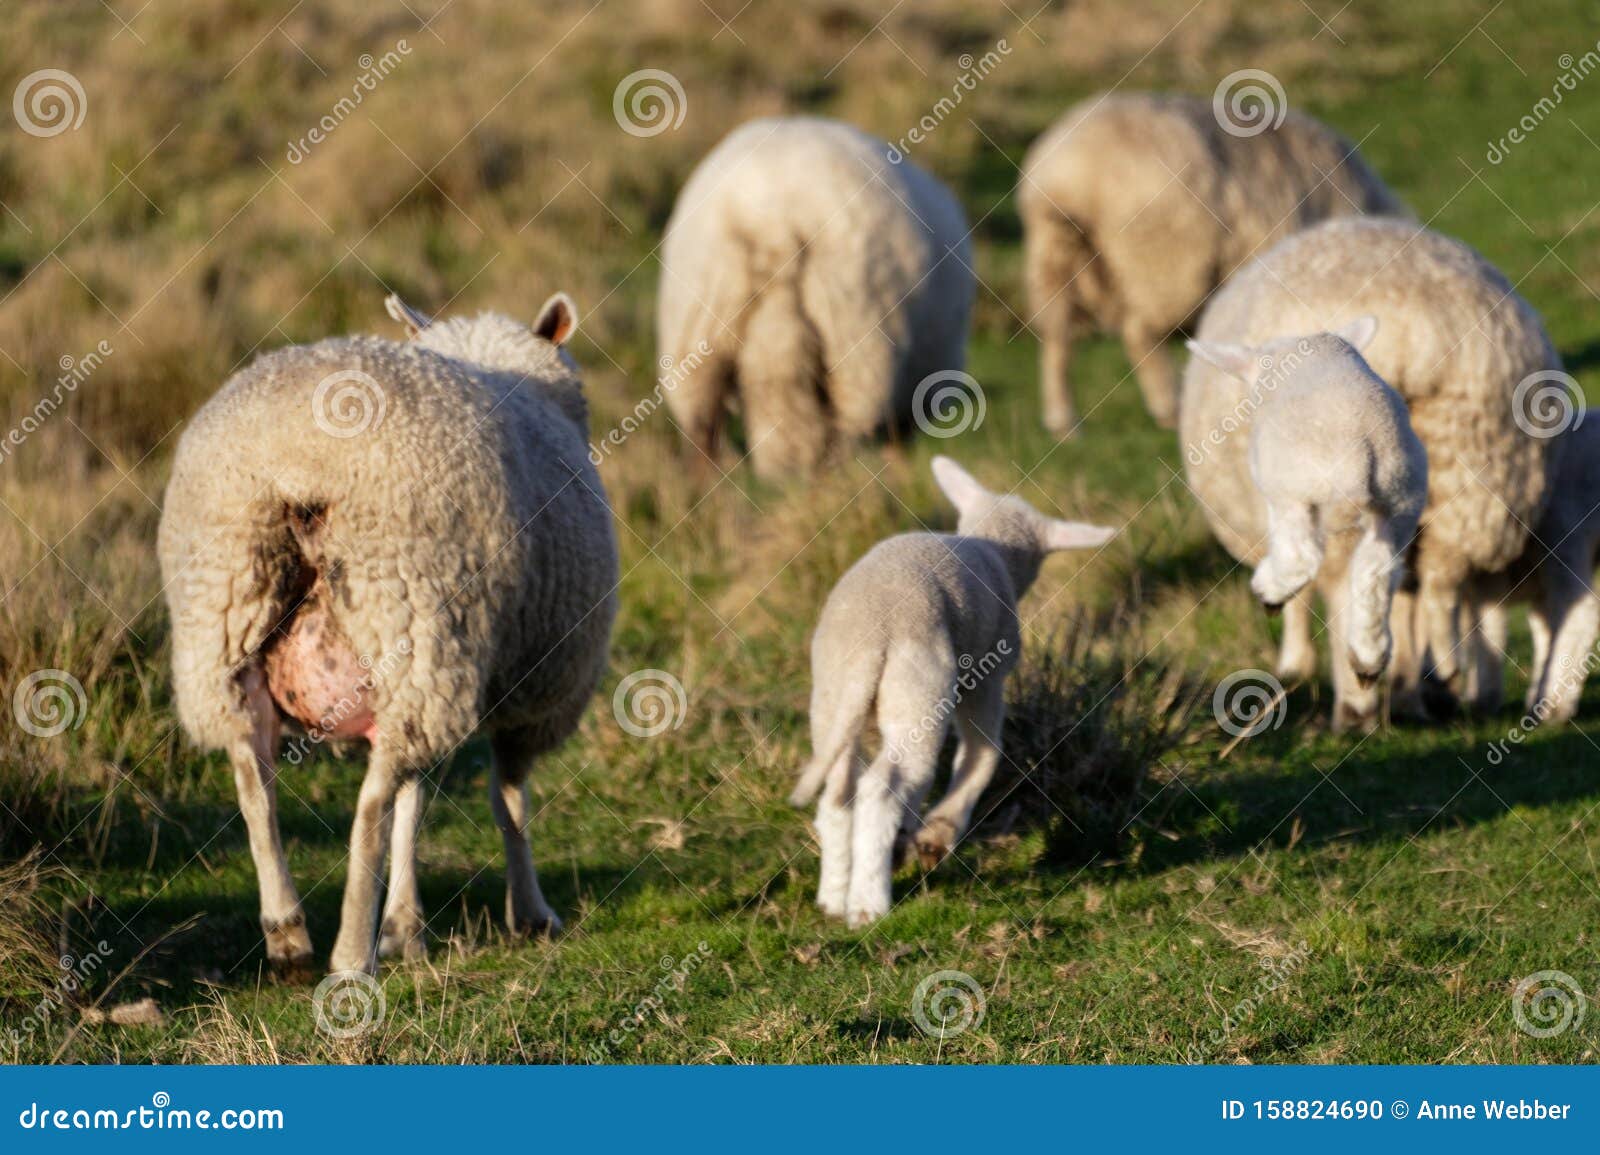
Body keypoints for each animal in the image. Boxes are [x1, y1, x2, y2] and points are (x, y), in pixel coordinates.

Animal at [157, 291, 618, 977]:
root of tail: (294, 464)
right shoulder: (526, 690)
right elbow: (505, 801)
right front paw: (529, 912)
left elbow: (417, 801)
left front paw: (406, 928)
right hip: (414, 616)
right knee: (371, 803)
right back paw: (351, 953)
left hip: (227, 610)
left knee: (252, 774)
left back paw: (288, 934)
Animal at [788, 456, 1114, 926]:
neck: (994, 545)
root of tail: (871, 635)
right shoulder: (988, 673)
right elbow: (983, 751)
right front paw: (934, 835)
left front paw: (907, 839)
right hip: (920, 686)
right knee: (884, 789)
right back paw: (868, 904)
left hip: (836, 698)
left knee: (839, 794)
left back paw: (834, 896)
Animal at [1018, 92, 1406, 436]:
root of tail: (1067, 178)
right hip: (1164, 260)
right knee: (1138, 332)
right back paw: (1168, 406)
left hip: (1056, 255)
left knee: (1057, 335)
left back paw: (1064, 421)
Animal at [1185, 320, 1428, 726]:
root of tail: (1359, 455)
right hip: (1403, 498)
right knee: (1377, 570)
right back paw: (1367, 658)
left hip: (1296, 491)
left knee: (1303, 557)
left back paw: (1269, 592)